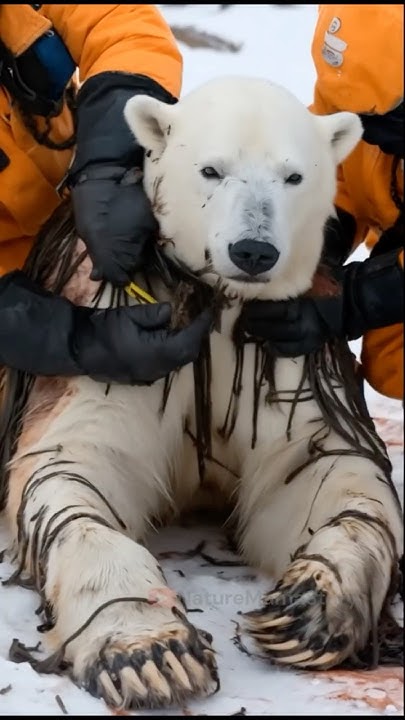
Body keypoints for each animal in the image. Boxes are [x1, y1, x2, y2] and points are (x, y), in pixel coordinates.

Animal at [0, 75, 402, 711]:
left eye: (293, 176)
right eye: (212, 170)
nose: (253, 251)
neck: (219, 302)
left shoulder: (278, 351)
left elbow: (320, 469)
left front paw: (306, 610)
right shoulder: (126, 340)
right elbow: (76, 467)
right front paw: (149, 652)